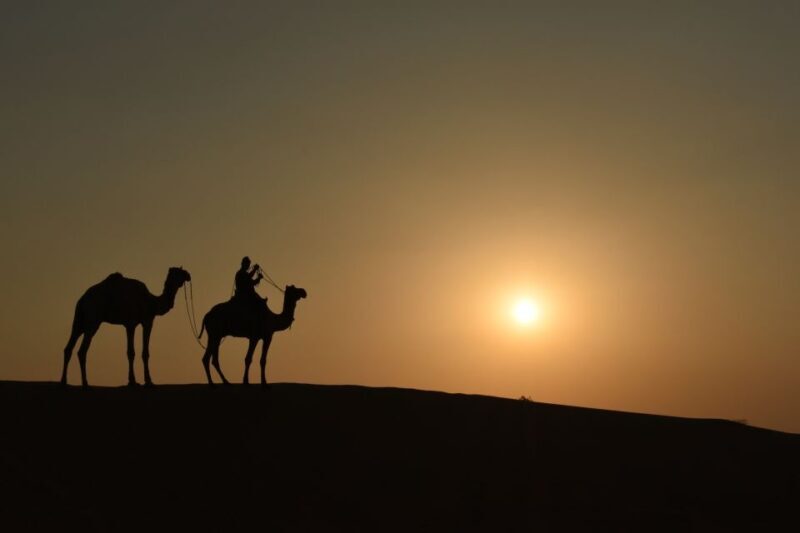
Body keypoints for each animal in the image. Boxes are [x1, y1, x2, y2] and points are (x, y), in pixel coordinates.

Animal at [61, 267, 192, 387]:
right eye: (180, 271)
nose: (189, 275)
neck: (151, 302)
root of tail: (82, 300)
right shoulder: (140, 322)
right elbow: (135, 352)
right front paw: (142, 381)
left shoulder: (134, 323)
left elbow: (135, 352)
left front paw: (137, 380)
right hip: (92, 320)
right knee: (82, 351)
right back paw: (85, 383)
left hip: (79, 321)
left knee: (68, 348)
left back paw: (63, 381)